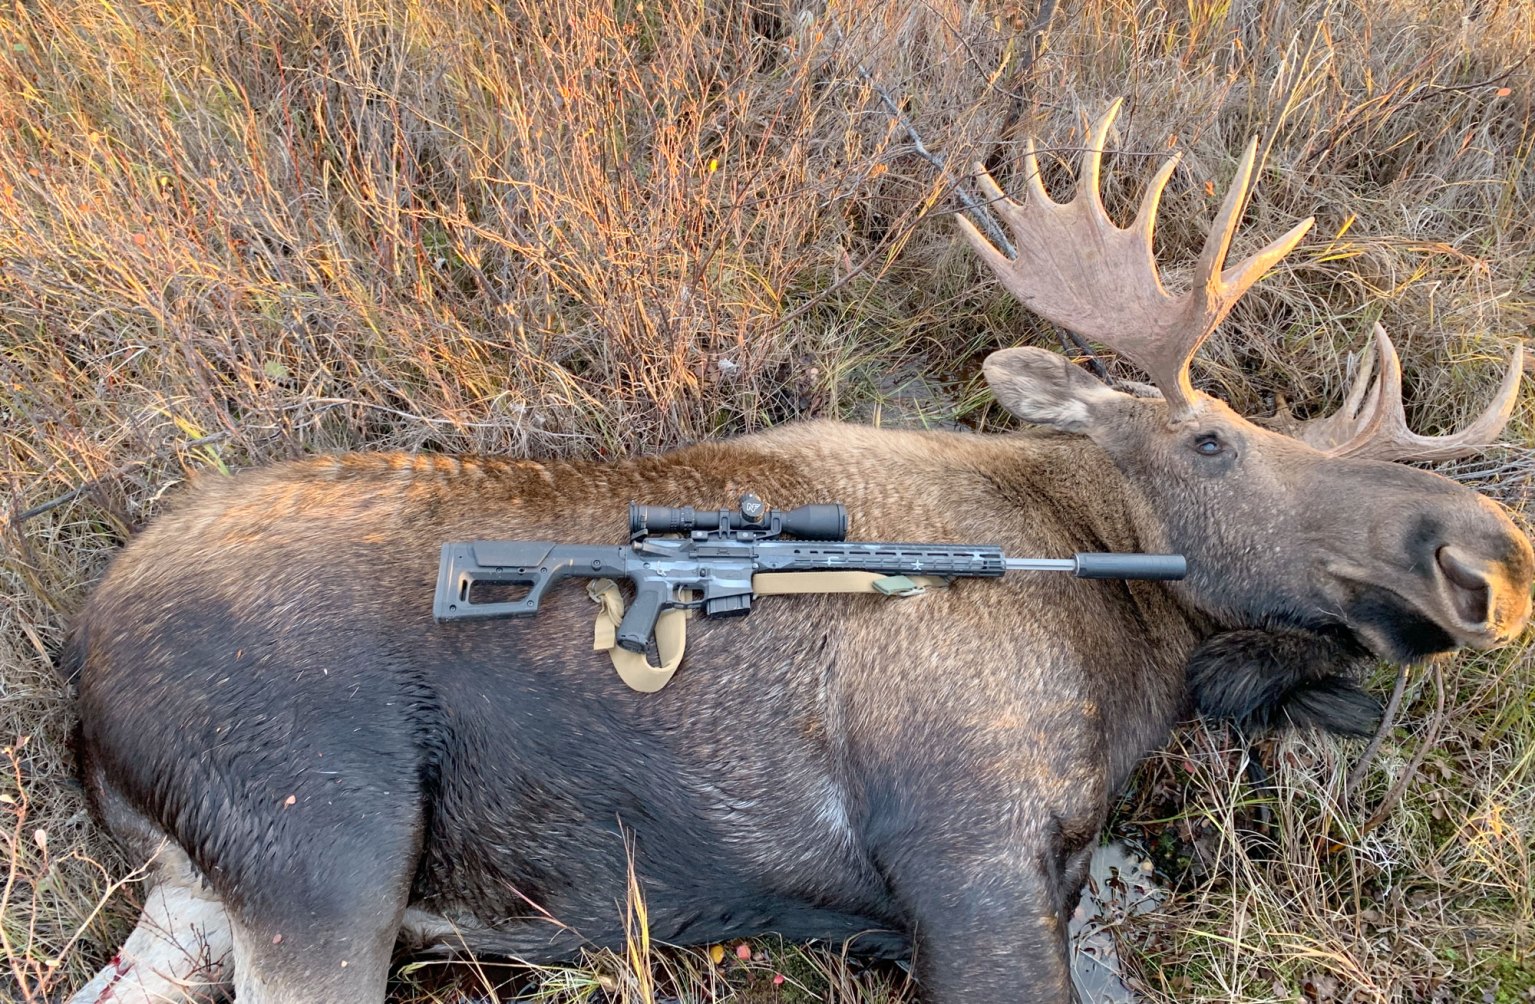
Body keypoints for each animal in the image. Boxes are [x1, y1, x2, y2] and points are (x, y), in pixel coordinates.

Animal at [65, 101, 1530, 1004]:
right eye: (1213, 442)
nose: (1482, 553)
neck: (1131, 648)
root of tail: (83, 675)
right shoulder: (969, 852)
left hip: (197, 896)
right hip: (327, 849)